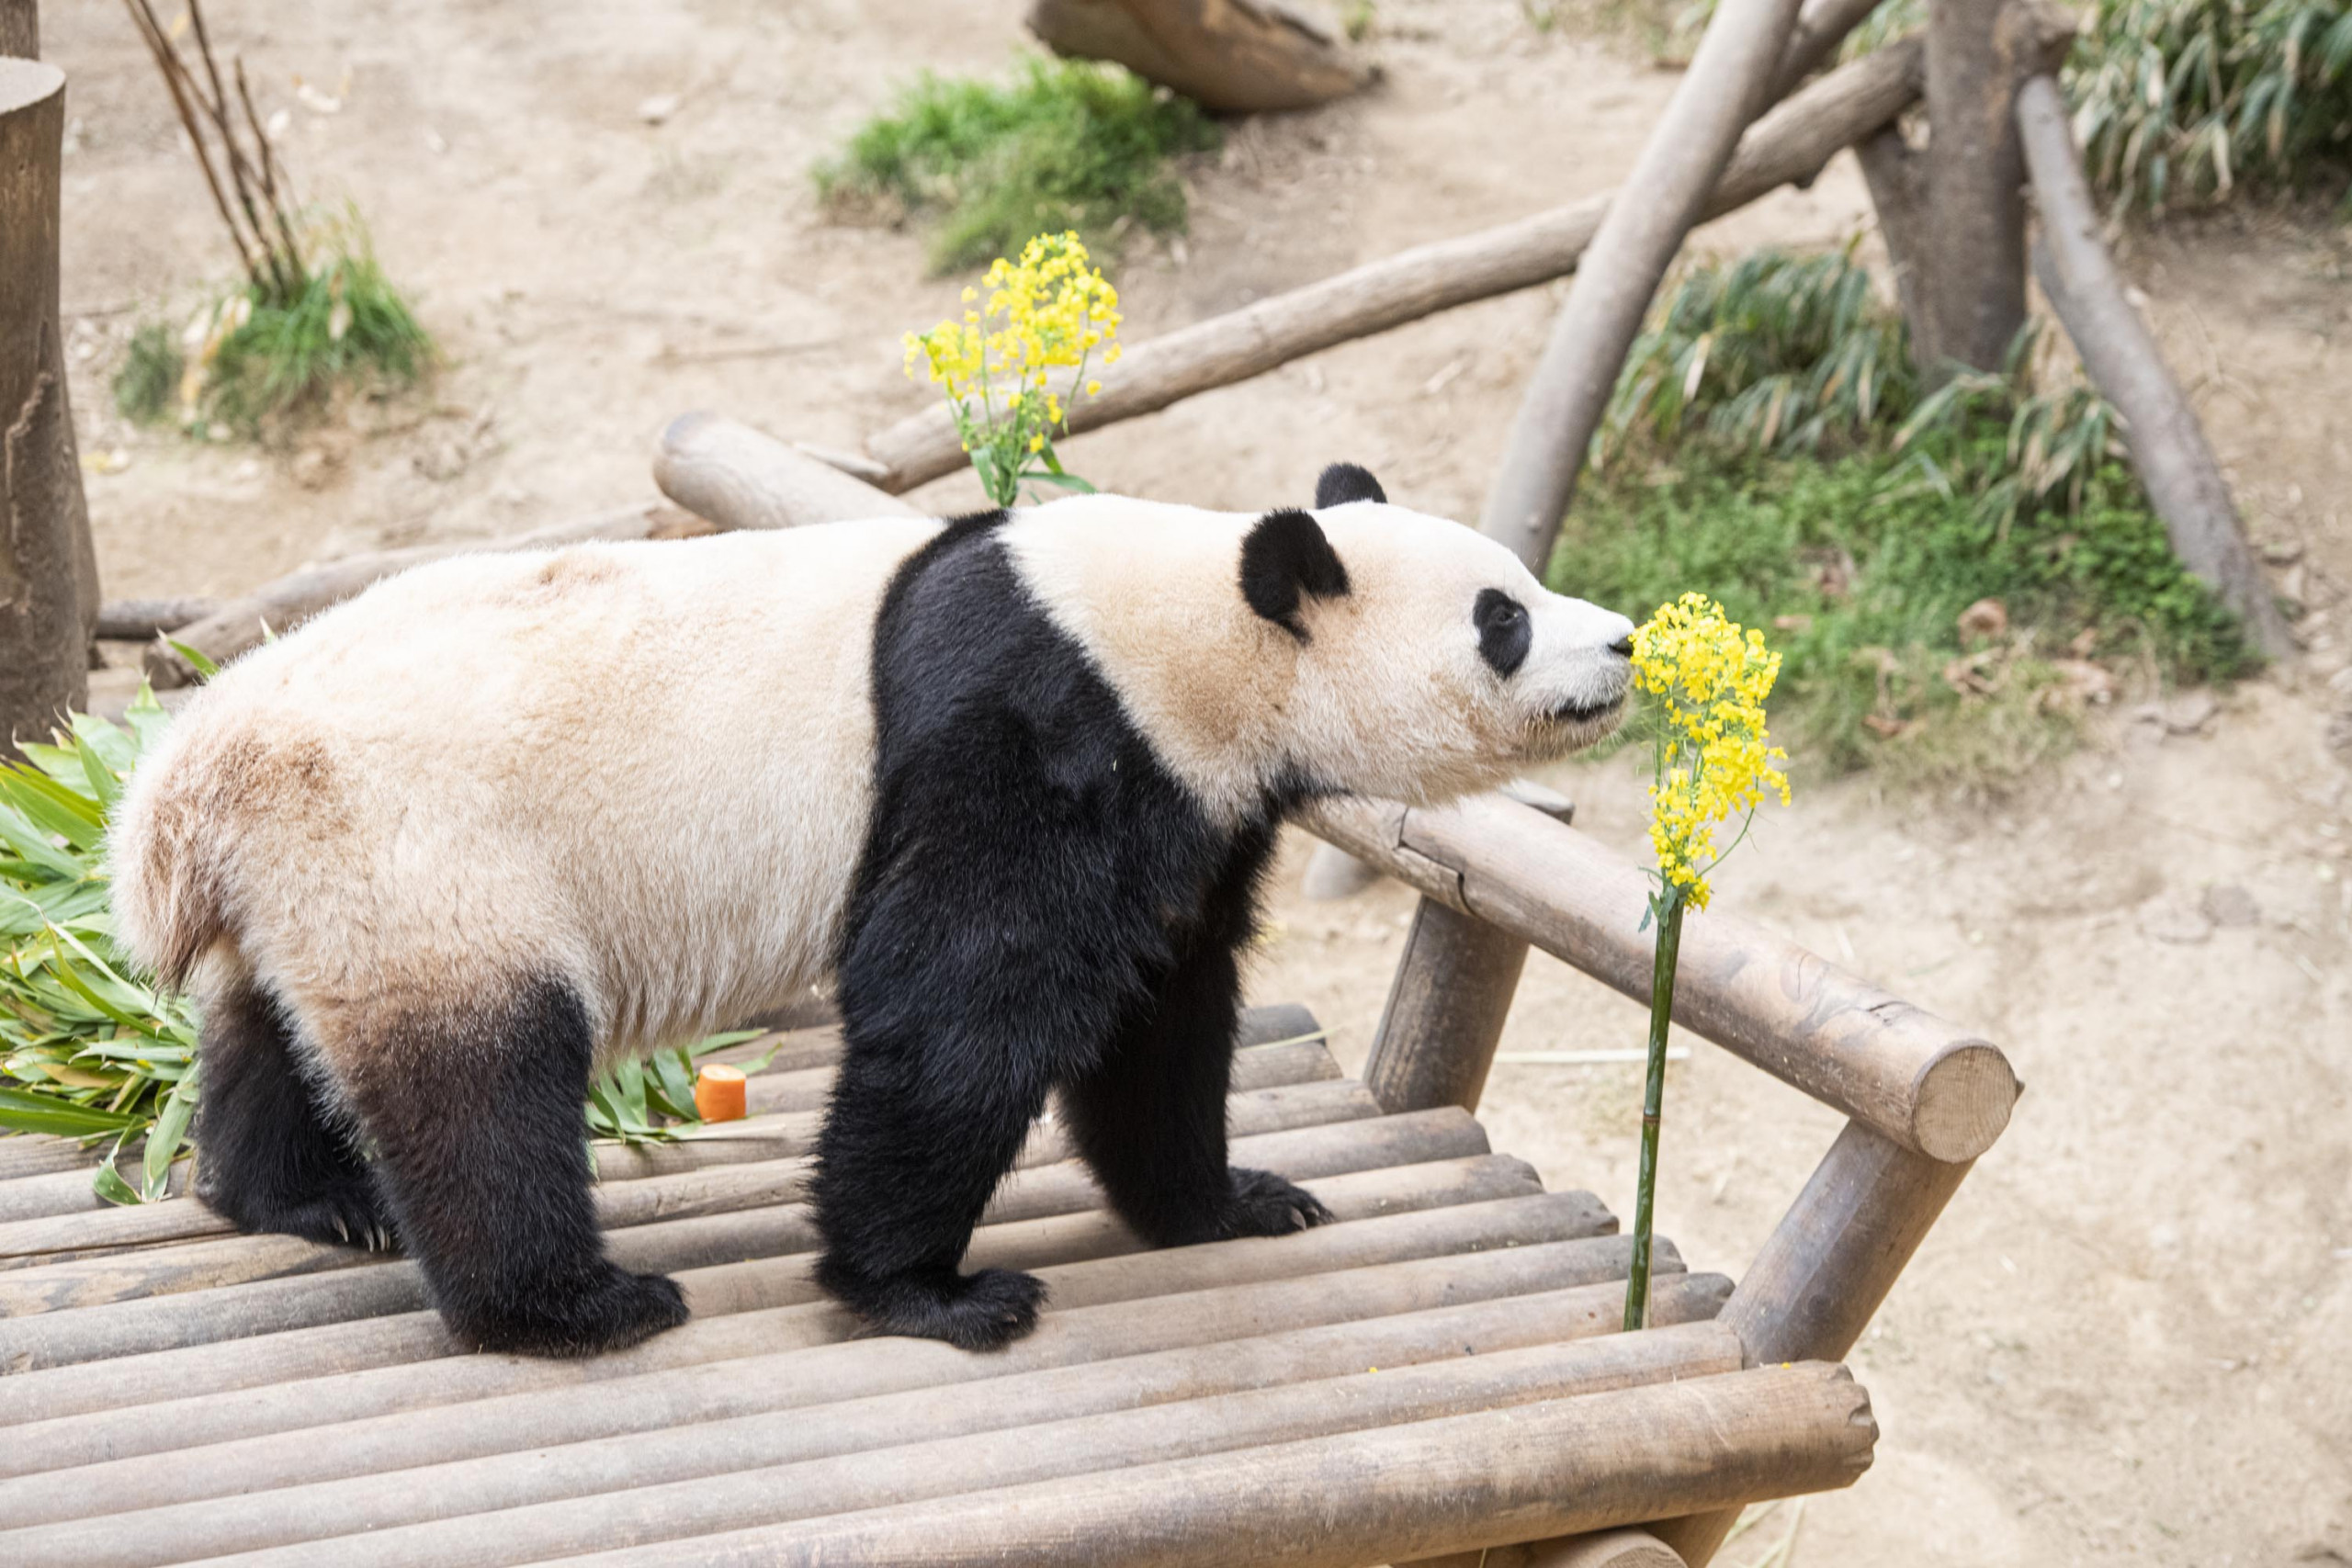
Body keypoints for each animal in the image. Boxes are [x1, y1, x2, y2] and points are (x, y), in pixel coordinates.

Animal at [109, 463, 1636, 1358]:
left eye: (1525, 582)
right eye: (1502, 615)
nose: (1622, 641)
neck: (1184, 625)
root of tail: (183, 783)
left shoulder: (1182, 797)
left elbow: (1164, 1013)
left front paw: (1231, 1199)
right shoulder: (1035, 730)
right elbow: (961, 1009)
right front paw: (929, 1289)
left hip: (321, 865)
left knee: (276, 1023)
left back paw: (297, 1195)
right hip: (428, 842)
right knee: (482, 1074)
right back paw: (570, 1305)